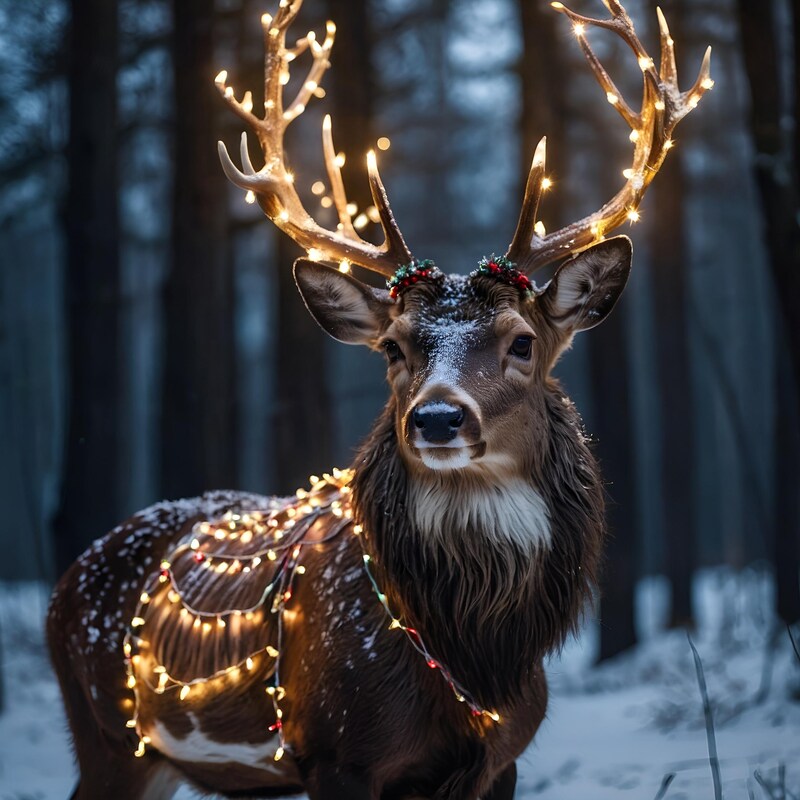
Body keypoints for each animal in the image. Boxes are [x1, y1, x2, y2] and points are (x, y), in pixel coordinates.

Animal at [47, 1, 711, 798]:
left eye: (523, 342)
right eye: (392, 347)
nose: (437, 418)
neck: (477, 655)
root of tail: (66, 582)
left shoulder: (505, 757)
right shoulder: (335, 752)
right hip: (106, 732)